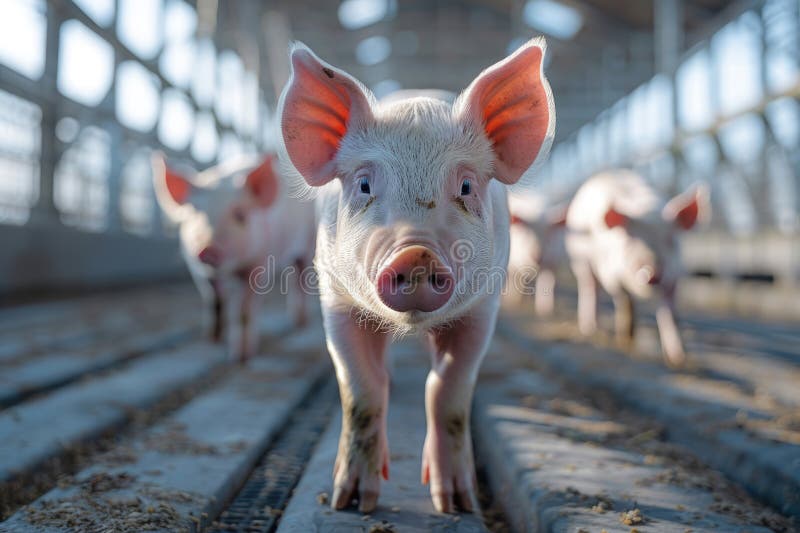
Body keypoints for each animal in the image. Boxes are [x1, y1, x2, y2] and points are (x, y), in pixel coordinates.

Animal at [152, 153, 316, 362]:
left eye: (240, 215)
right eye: (194, 215)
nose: (208, 249)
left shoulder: (259, 264)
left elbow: (244, 310)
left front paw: (242, 356)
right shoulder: (199, 270)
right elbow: (215, 301)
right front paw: (212, 340)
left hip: (308, 245)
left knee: (300, 281)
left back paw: (300, 322)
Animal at [276, 38, 554, 513]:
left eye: (465, 187)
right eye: (364, 185)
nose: (417, 252)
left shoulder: (482, 308)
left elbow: (448, 393)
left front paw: (456, 504)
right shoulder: (336, 297)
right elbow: (362, 391)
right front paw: (351, 503)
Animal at [564, 169, 709, 366]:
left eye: (670, 241)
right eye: (630, 241)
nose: (651, 271)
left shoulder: (674, 276)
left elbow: (670, 316)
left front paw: (678, 359)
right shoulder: (611, 275)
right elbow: (625, 302)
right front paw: (626, 341)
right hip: (580, 260)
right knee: (589, 287)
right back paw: (591, 330)